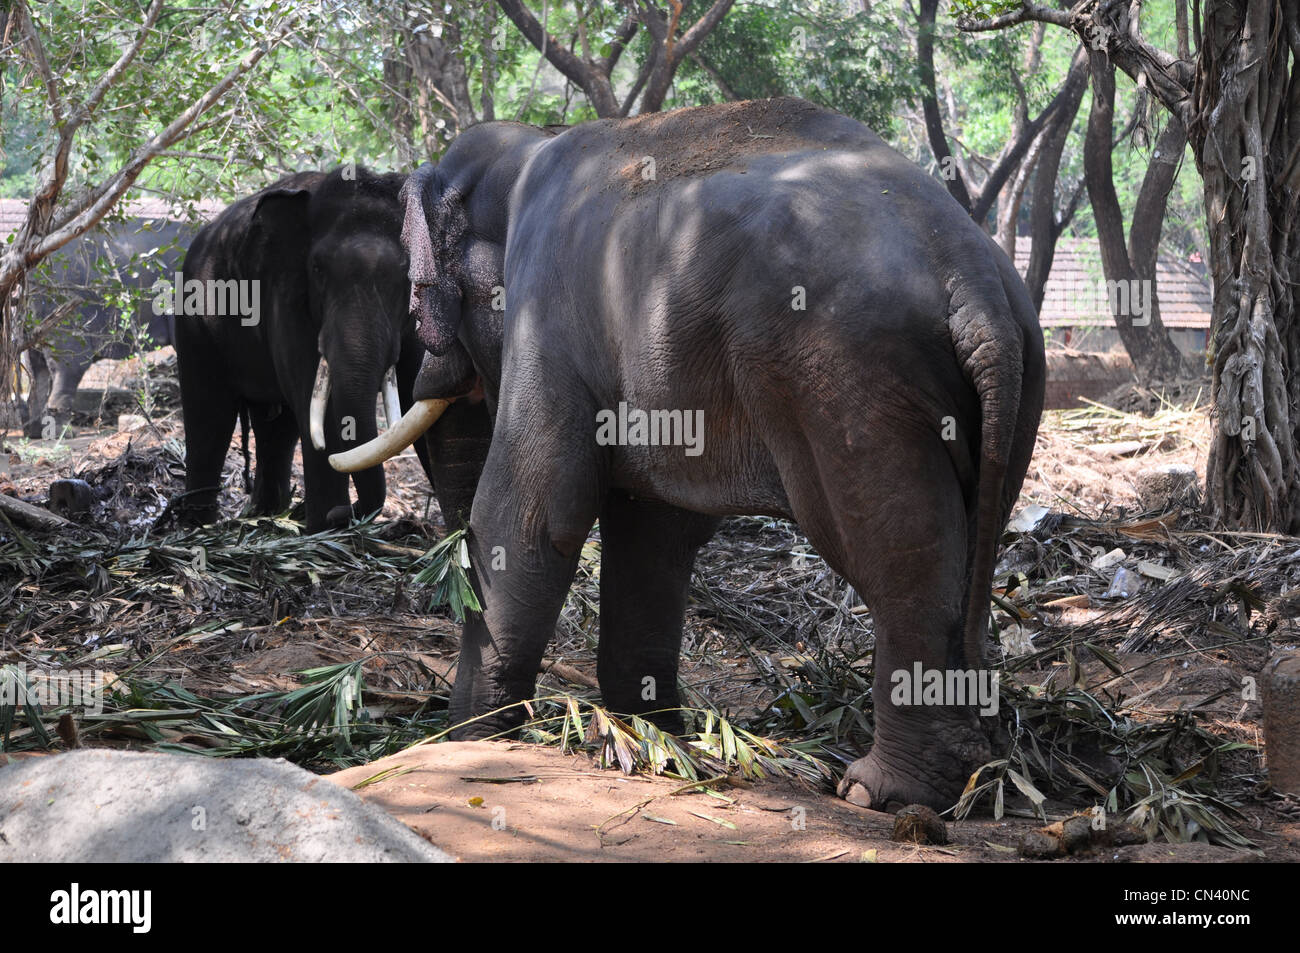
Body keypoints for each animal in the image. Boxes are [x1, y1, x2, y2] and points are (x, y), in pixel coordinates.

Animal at [172, 166, 489, 533]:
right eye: (317, 269)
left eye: (405, 272)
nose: (345, 512)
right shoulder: (287, 297)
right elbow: (313, 403)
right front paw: (324, 529)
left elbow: (416, 396)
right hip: (194, 320)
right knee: (209, 412)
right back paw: (199, 526)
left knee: (275, 427)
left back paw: (269, 513)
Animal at [340, 98, 1045, 811]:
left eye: (419, 291)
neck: (529, 146)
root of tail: (974, 283)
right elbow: (652, 531)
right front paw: (654, 736)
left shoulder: (548, 312)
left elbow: (534, 517)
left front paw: (464, 741)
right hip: (1008, 387)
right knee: (965, 551)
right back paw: (973, 766)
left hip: (853, 382)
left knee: (899, 560)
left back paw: (878, 791)